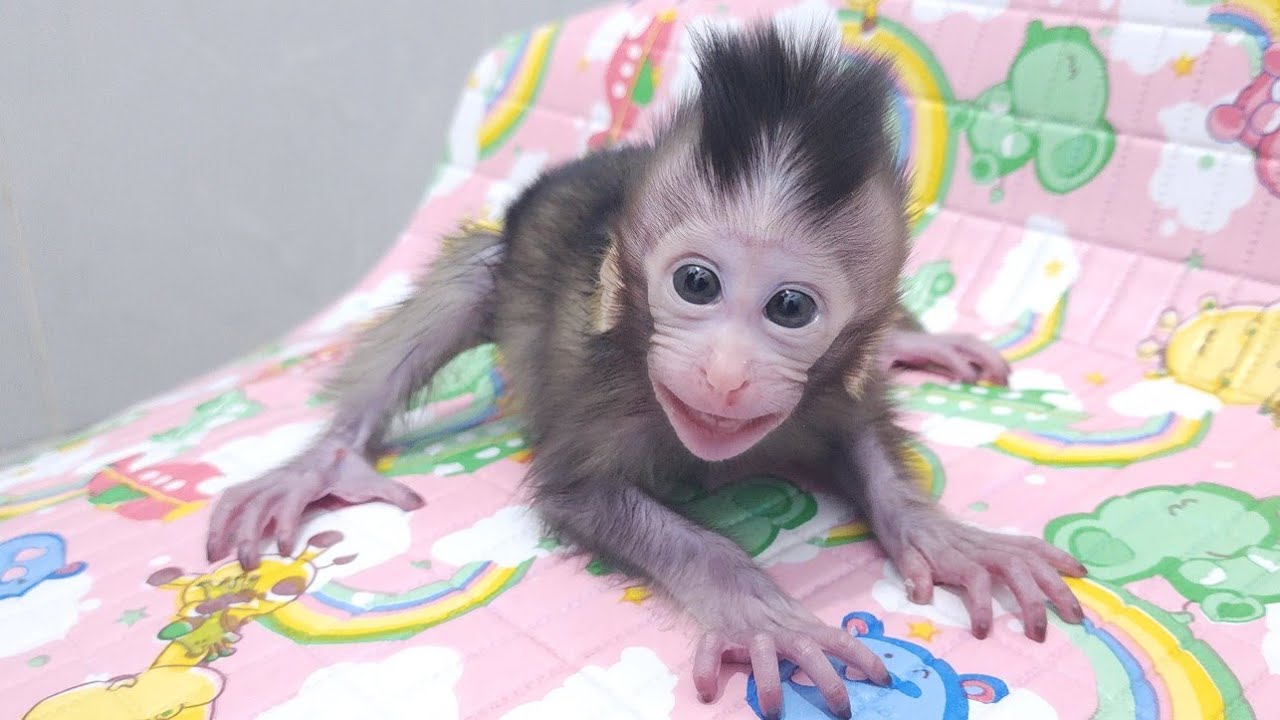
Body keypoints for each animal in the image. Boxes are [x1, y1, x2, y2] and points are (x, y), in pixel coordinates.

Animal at [207, 20, 1084, 720]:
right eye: (696, 285)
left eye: (789, 308)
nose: (726, 374)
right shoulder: (613, 394)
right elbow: (586, 496)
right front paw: (755, 611)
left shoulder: (834, 385)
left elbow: (865, 445)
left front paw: (944, 535)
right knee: (468, 282)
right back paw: (324, 460)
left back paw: (909, 340)